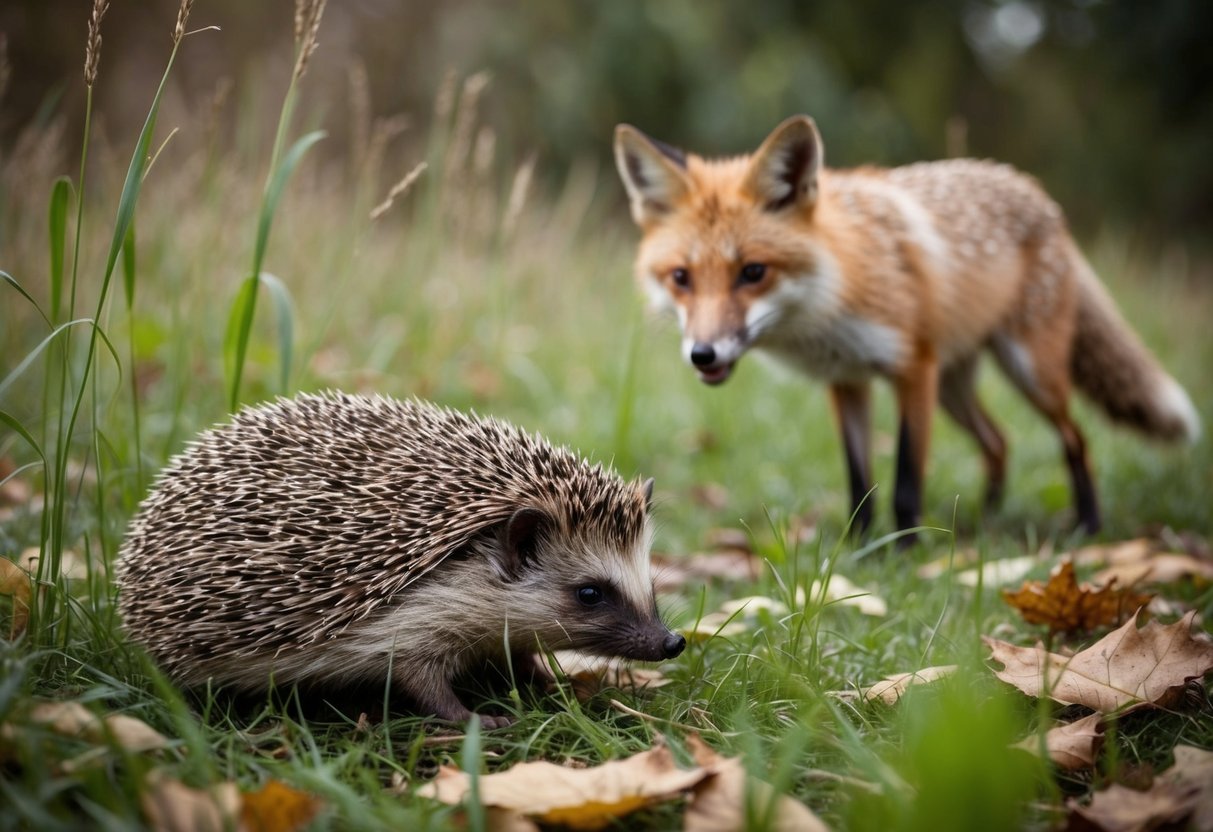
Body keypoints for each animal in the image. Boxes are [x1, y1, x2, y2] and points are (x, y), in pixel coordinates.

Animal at [613, 115, 1200, 540]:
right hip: (955, 388)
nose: (704, 354)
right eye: (682, 278)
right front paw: (859, 551)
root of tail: (1037, 193)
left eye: (753, 272)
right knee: (999, 441)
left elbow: (904, 482)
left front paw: (906, 551)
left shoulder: (913, 368)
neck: (836, 291)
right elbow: (859, 484)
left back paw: (1087, 524)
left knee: (1076, 438)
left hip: (1029, 373)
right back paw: (985, 519)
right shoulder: (847, 381)